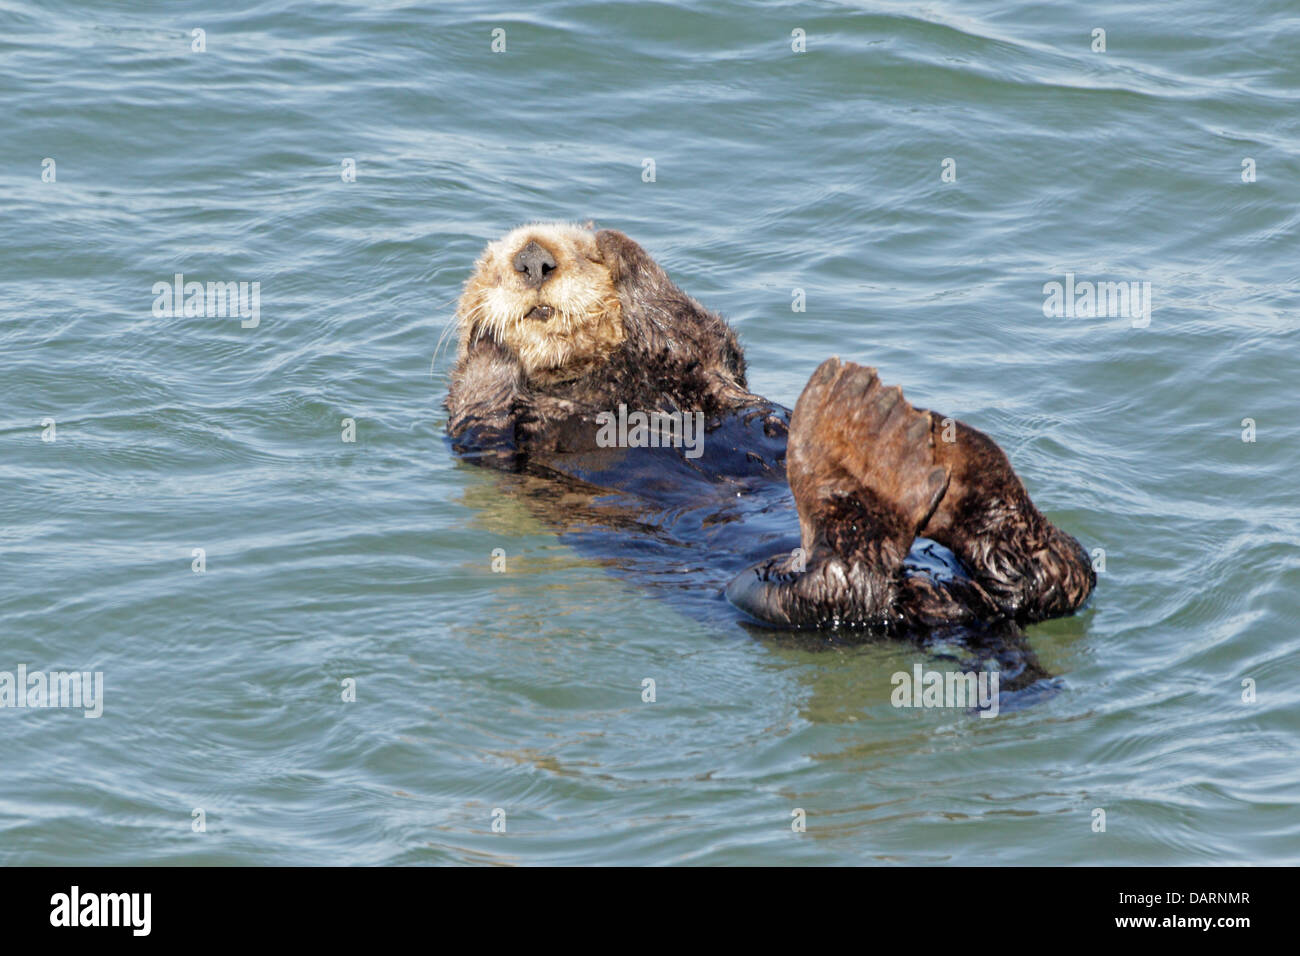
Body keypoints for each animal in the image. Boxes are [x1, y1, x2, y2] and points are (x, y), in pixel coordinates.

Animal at [445, 222, 1095, 635]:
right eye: (493, 266)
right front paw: (489, 340)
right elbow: (480, 399)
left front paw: (615, 243)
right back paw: (875, 433)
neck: (605, 383)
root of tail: (953, 609)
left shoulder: (703, 365)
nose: (532, 260)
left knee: (1057, 573)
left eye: (578, 257)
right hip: (766, 596)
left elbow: (692, 323)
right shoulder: (481, 435)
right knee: (845, 584)